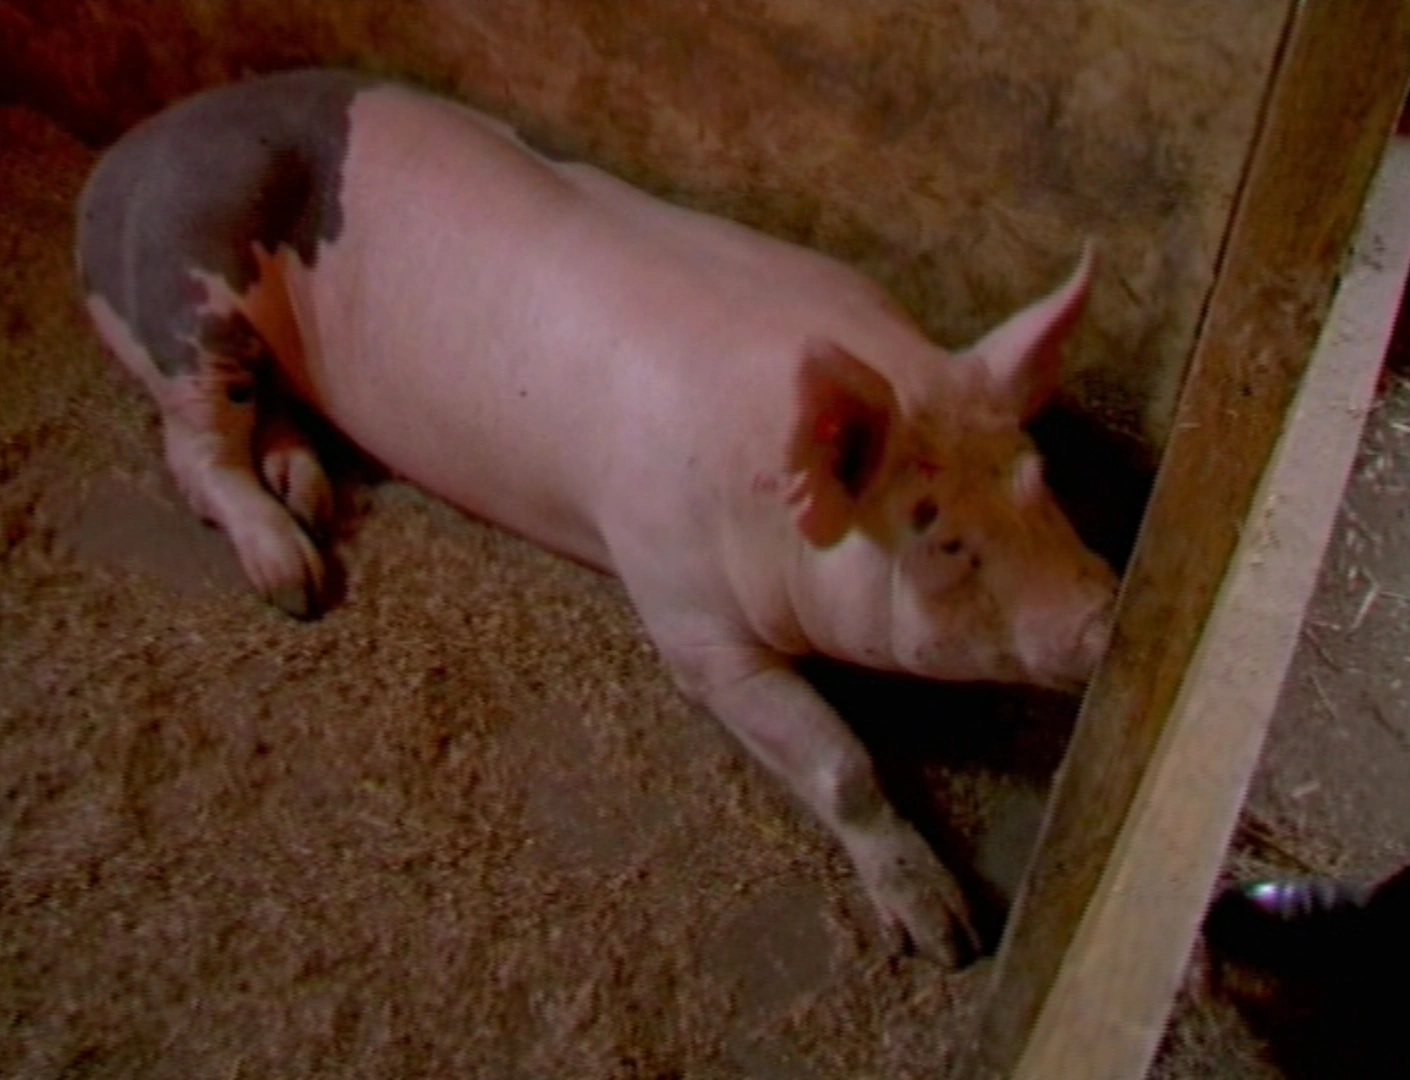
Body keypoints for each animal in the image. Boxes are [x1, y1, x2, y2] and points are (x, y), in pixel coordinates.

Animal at [76, 68, 1116, 965]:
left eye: (1039, 483)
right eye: (944, 539)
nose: (1100, 620)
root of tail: (120, 162)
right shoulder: (685, 607)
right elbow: (837, 760)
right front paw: (949, 939)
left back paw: (311, 491)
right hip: (189, 294)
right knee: (197, 452)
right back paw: (294, 576)